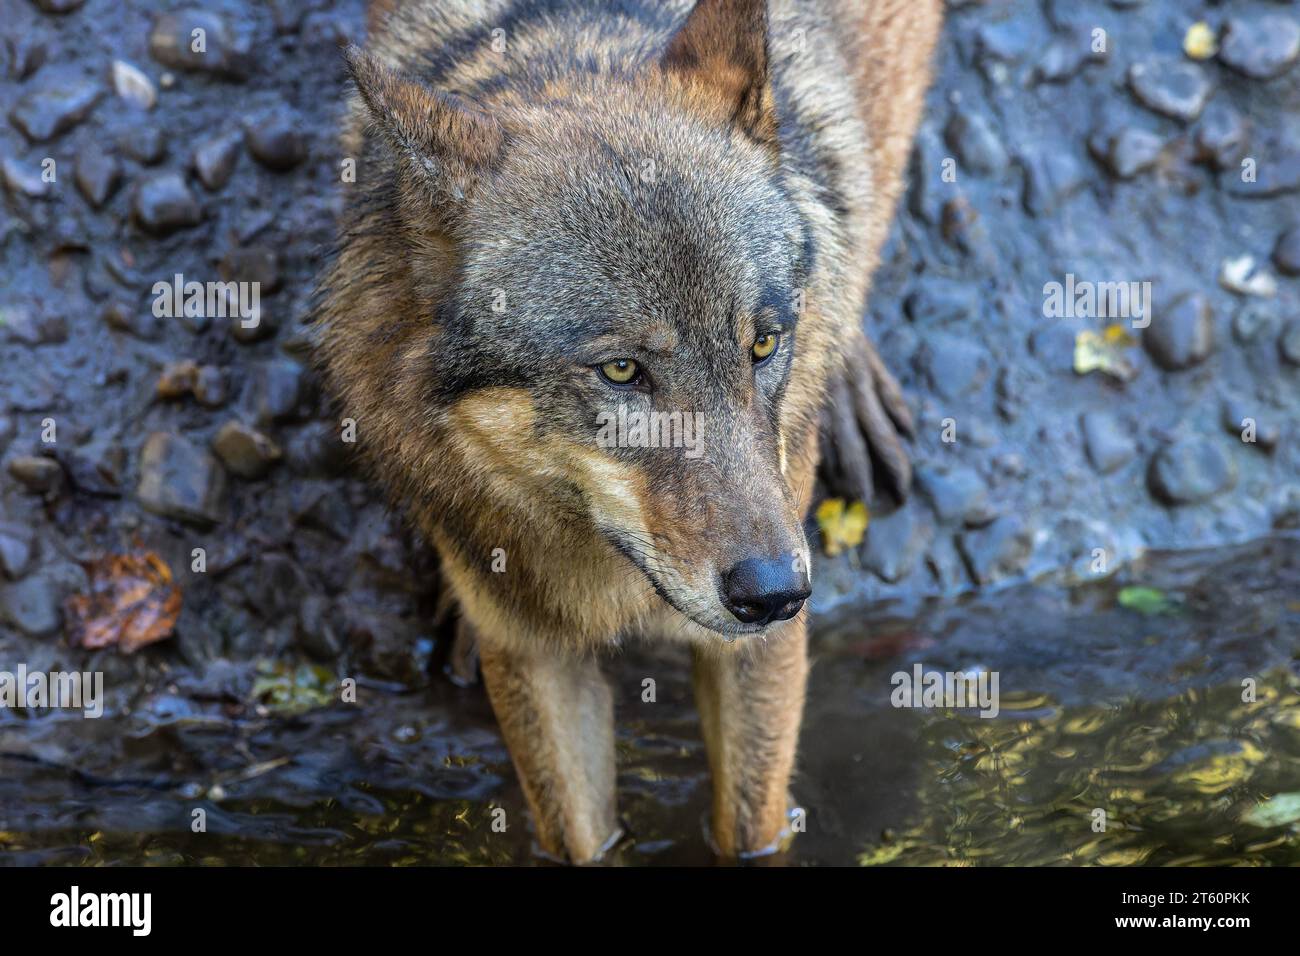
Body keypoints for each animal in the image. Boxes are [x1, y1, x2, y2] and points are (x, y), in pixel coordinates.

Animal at [314, 0, 941, 862]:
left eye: (762, 345)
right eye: (621, 371)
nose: (776, 591)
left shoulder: (759, 651)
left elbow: (751, 827)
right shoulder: (537, 657)